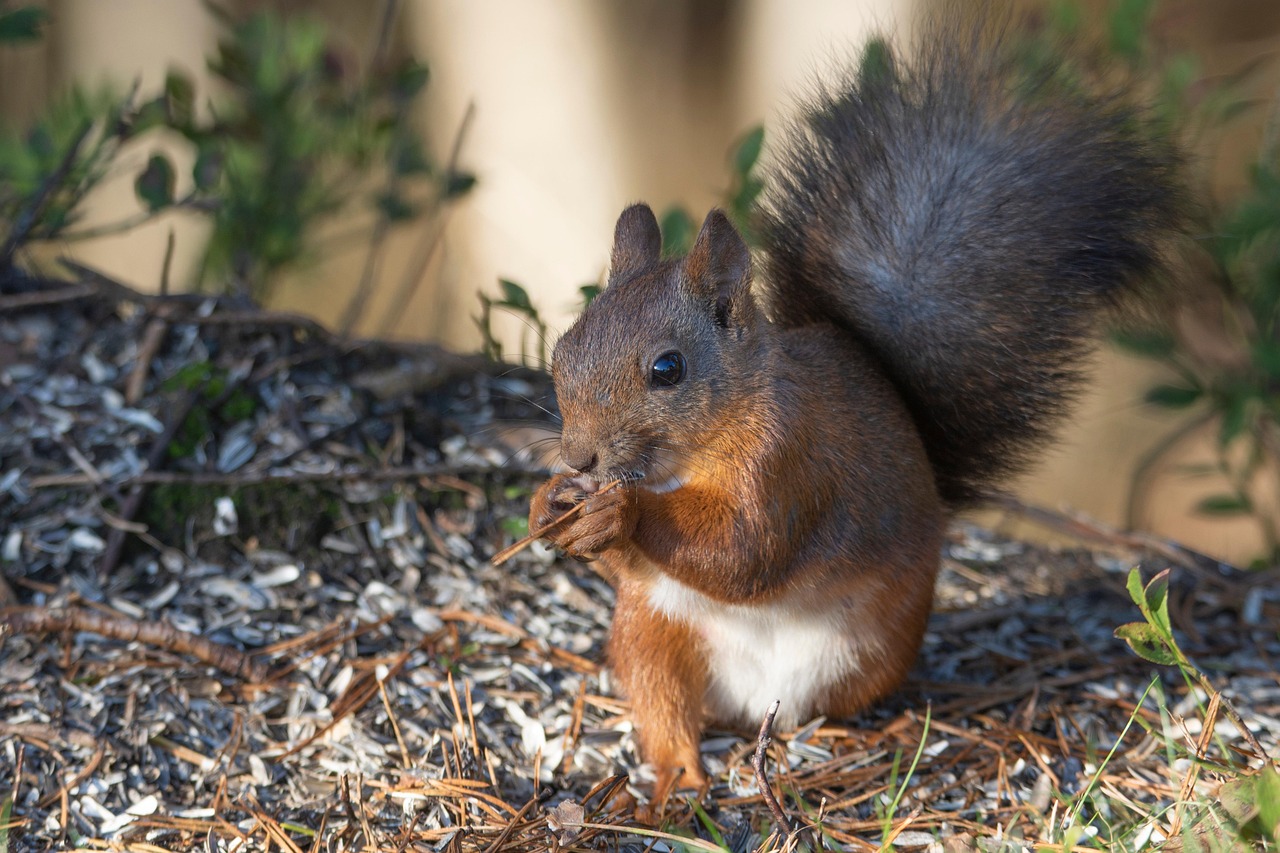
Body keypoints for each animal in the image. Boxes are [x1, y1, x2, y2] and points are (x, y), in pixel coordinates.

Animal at [527, 14, 1182, 802]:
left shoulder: (789, 461)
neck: (689, 456)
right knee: (664, 706)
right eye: (565, 348)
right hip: (650, 635)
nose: (579, 456)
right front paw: (549, 505)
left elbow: (743, 551)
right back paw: (677, 778)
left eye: (666, 369)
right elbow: (642, 568)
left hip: (865, 648)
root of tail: (752, 703)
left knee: (830, 703)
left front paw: (619, 511)